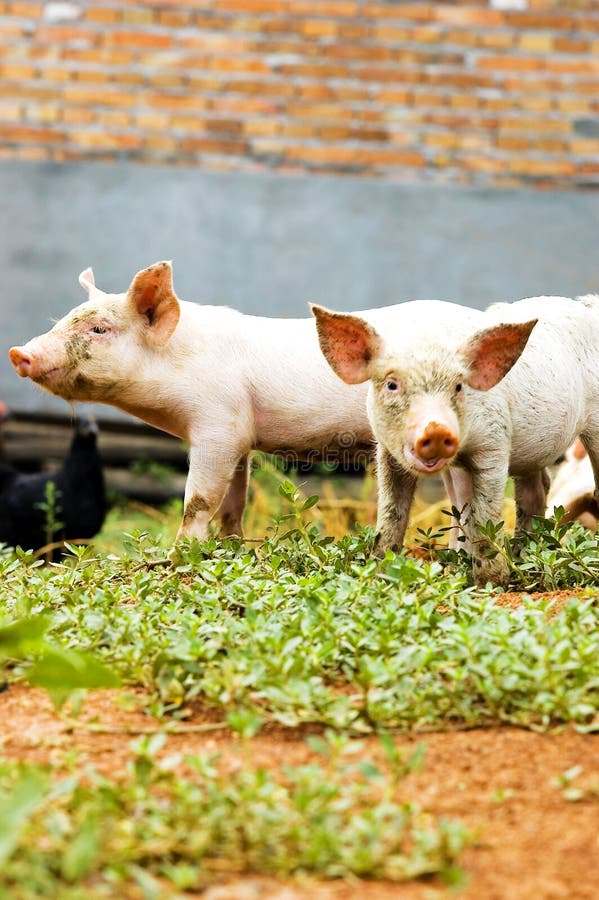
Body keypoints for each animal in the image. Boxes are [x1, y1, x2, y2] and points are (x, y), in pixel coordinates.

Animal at [9, 261, 482, 543]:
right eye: (64, 319)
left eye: (99, 330)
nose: (18, 352)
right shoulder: (240, 437)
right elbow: (234, 500)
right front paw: (232, 547)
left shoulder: (217, 425)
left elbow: (198, 499)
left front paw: (180, 556)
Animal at [313, 294, 599, 587]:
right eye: (392, 385)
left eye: (459, 387)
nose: (436, 430)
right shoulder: (388, 453)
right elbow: (392, 514)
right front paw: (378, 574)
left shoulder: (494, 443)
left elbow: (483, 518)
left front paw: (490, 585)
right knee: (536, 491)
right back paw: (525, 561)